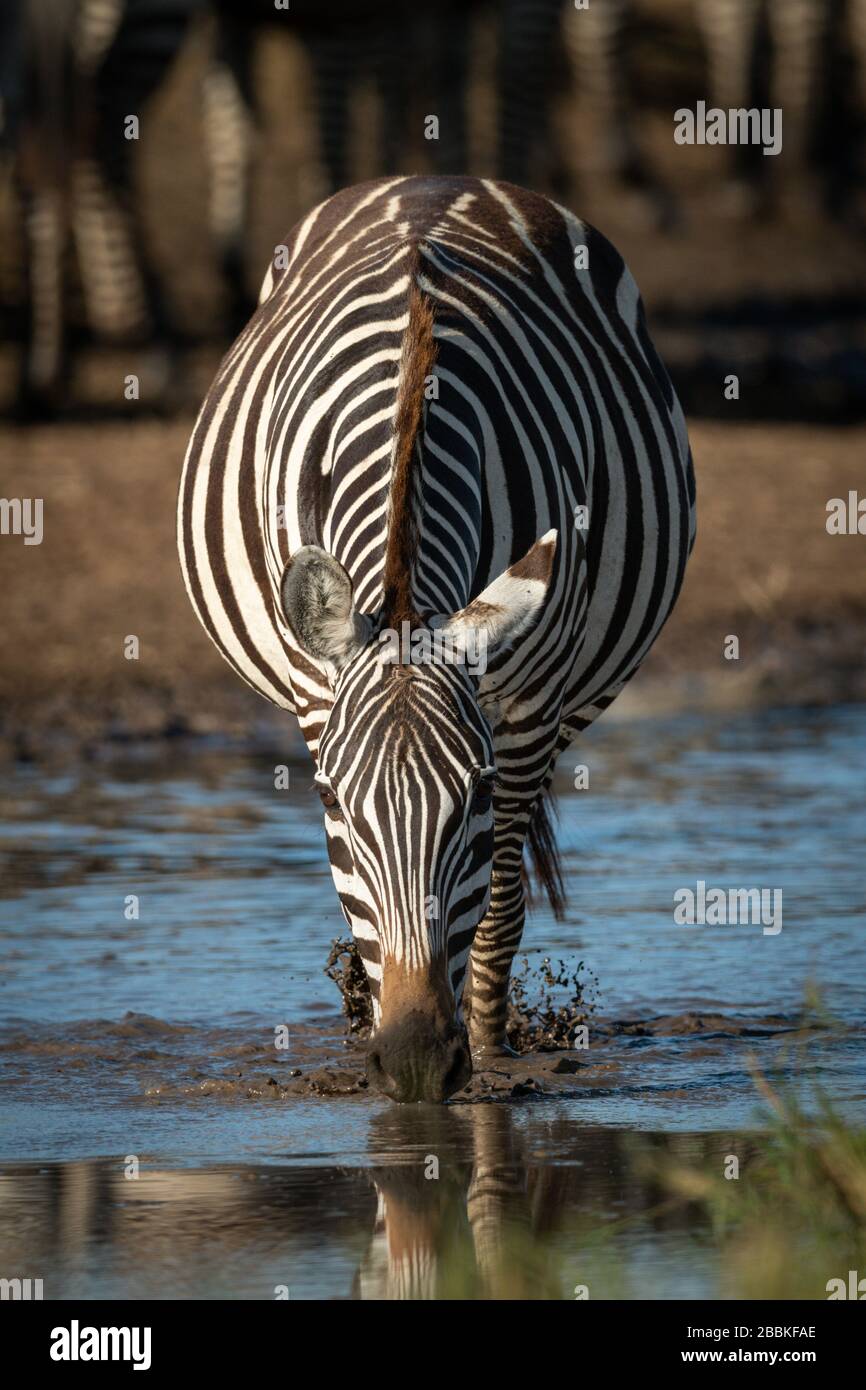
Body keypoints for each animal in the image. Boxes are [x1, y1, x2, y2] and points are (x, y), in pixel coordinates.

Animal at [178, 174, 696, 1104]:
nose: (417, 1059)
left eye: (476, 796)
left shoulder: (528, 709)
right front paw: (372, 1010)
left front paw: (486, 1059)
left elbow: (498, 909)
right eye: (334, 802)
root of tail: (435, 178)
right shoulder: (316, 694)